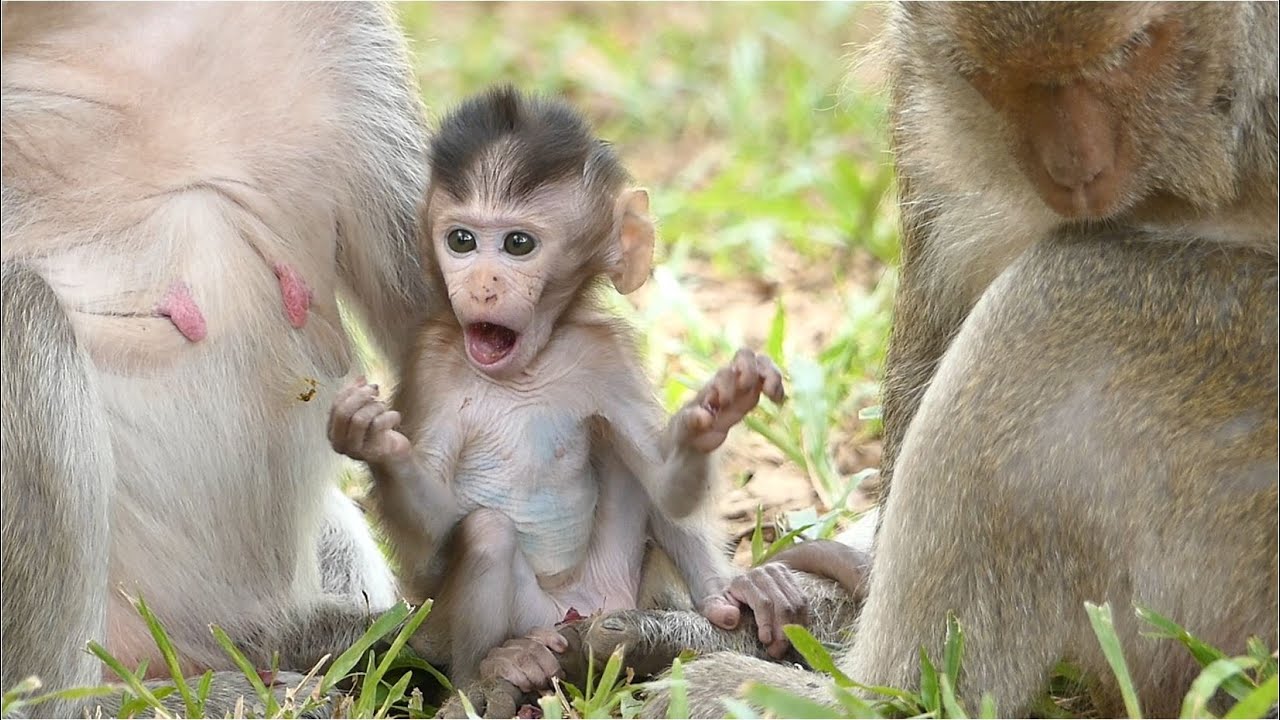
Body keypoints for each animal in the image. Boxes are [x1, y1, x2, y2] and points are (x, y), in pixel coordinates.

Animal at [326, 85, 827, 702]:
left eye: (518, 244)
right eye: (461, 241)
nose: (481, 285)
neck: (525, 371)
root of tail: (569, 612)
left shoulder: (605, 356)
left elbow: (663, 479)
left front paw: (714, 414)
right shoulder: (434, 364)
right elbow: (432, 533)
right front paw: (372, 438)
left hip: (610, 590)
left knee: (629, 467)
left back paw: (726, 595)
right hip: (512, 618)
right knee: (488, 534)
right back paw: (492, 671)